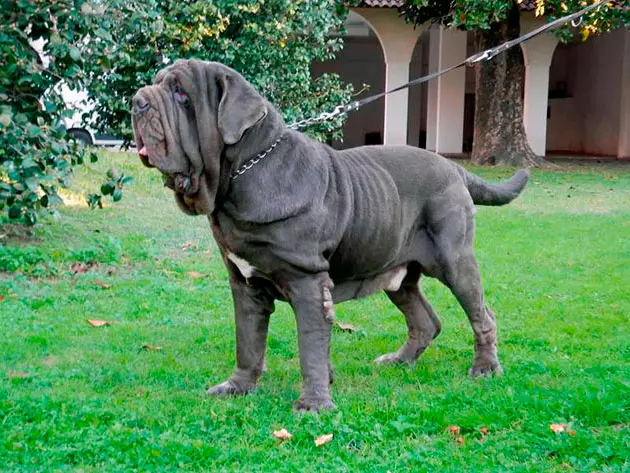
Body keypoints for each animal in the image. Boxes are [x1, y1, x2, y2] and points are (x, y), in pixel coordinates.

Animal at [132, 59, 528, 410]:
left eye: (181, 94)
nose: (137, 101)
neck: (245, 170)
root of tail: (454, 168)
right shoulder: (244, 284)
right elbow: (247, 341)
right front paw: (238, 387)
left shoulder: (306, 280)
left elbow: (309, 345)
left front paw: (314, 404)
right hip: (396, 273)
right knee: (425, 320)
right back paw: (399, 360)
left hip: (455, 261)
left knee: (482, 314)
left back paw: (485, 368)